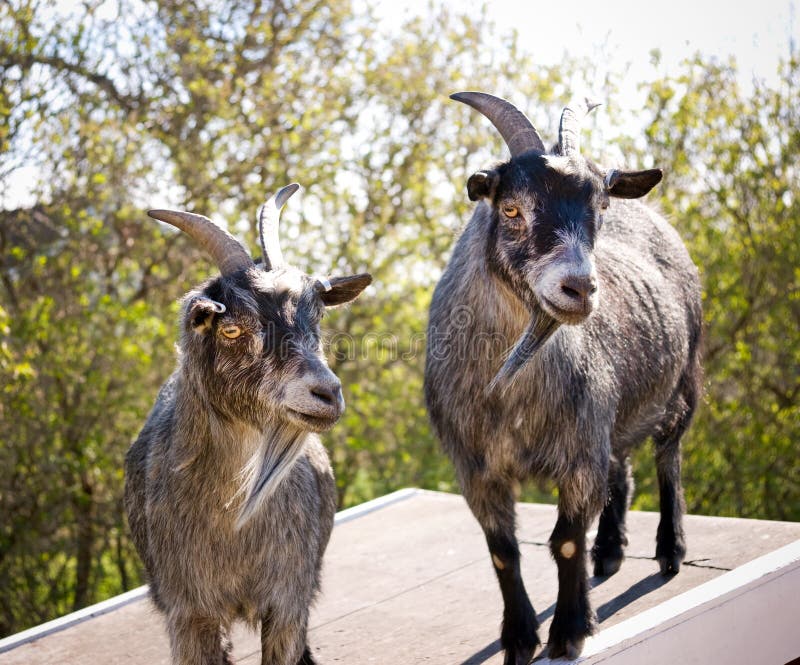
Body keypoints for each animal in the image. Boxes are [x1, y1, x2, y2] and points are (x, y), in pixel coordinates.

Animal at [124, 184, 371, 665]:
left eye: (316, 318)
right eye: (232, 330)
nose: (327, 393)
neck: (233, 518)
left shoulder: (287, 599)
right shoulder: (190, 612)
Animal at [424, 93, 702, 662]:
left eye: (600, 208)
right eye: (511, 208)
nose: (580, 288)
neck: (512, 397)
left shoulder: (578, 457)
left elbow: (565, 541)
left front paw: (570, 630)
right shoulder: (477, 469)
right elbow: (503, 551)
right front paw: (518, 638)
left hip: (684, 385)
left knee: (668, 461)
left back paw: (669, 550)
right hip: (611, 418)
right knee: (622, 465)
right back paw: (611, 551)